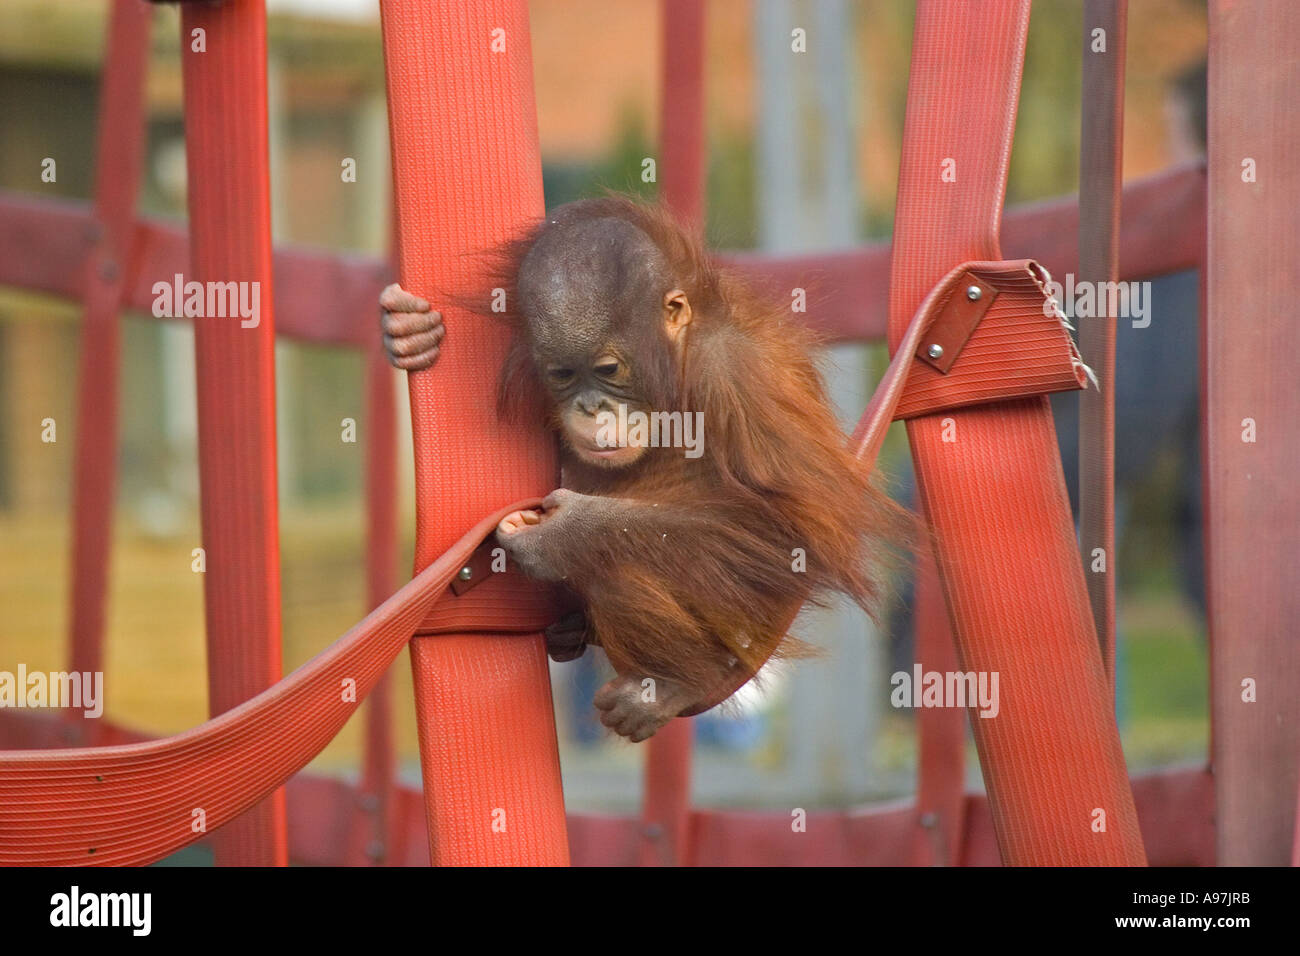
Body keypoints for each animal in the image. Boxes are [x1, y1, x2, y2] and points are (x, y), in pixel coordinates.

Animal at [380, 196, 905, 741]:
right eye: (562, 375)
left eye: (608, 370)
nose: (590, 407)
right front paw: (409, 333)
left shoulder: (738, 373)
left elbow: (792, 533)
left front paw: (563, 531)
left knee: (618, 567)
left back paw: (672, 685)